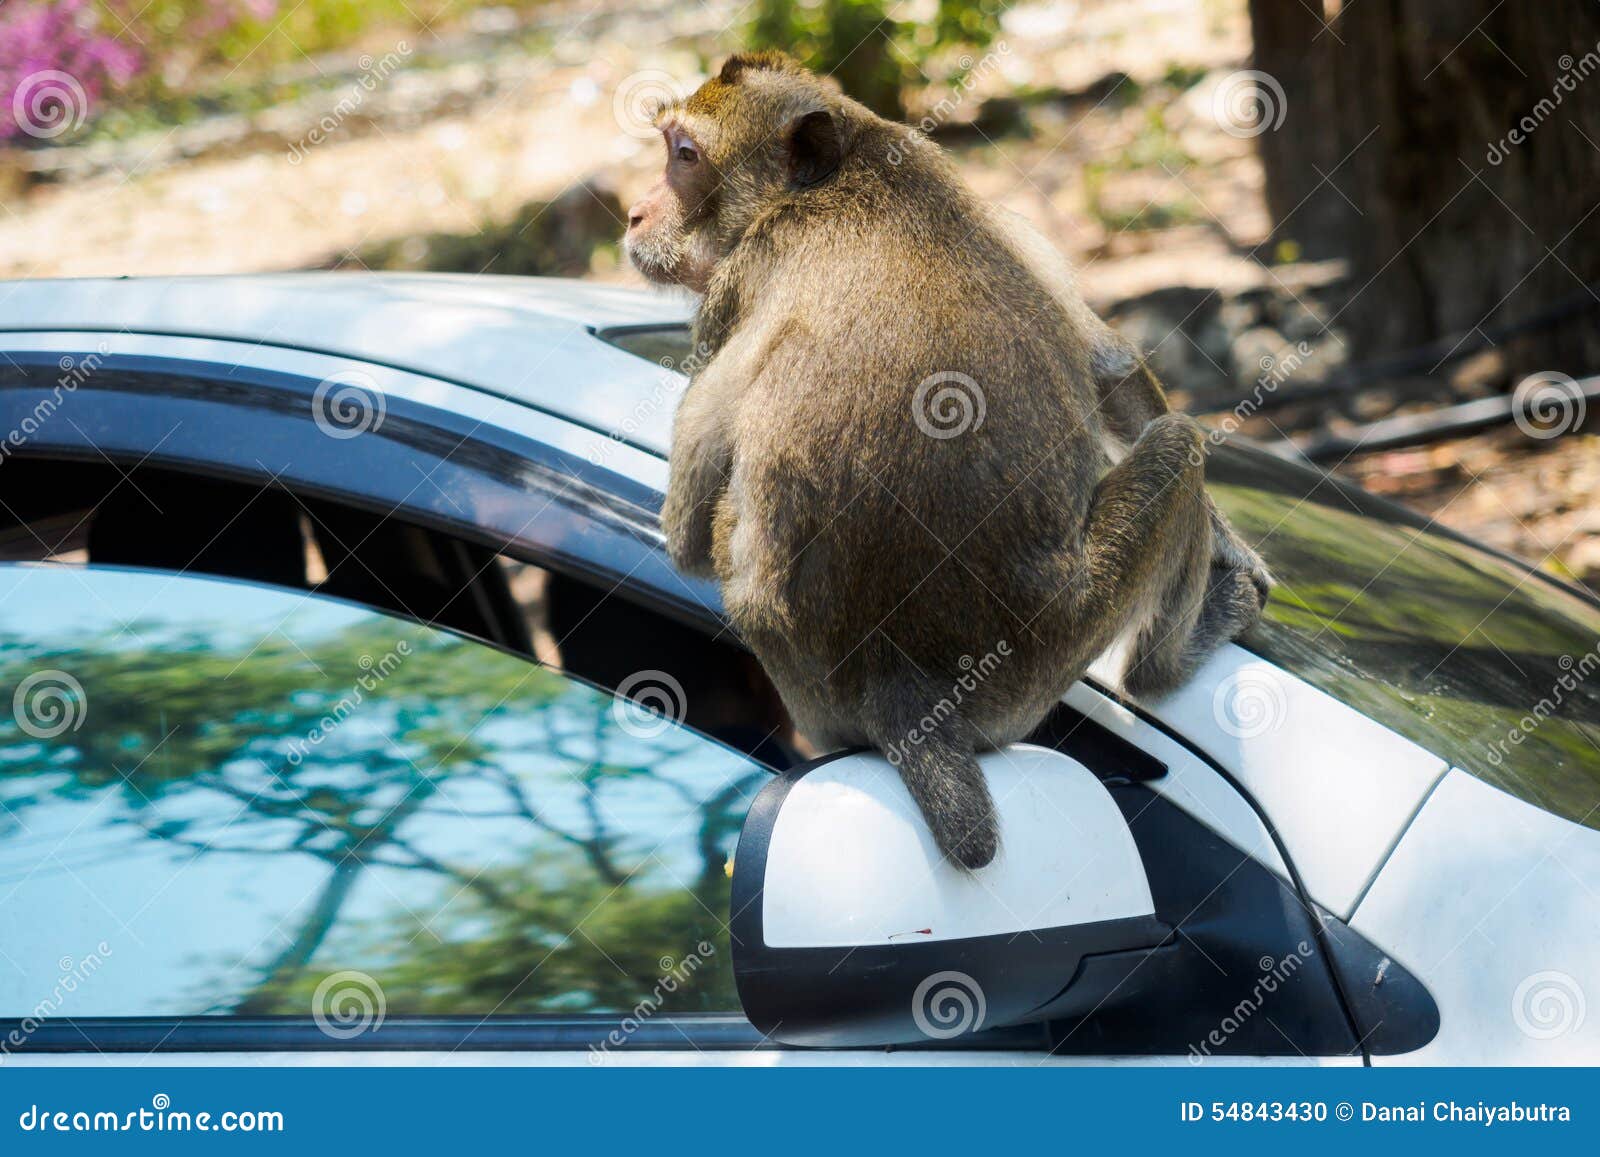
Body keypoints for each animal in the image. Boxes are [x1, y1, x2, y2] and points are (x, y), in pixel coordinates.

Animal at [624, 52, 1271, 871]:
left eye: (683, 155)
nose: (635, 214)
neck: (838, 174)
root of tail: (904, 679)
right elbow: (1108, 364)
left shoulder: (736, 281)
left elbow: (687, 536)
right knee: (1178, 443)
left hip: (1044, 652)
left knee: (1179, 445)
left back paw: (1164, 666)